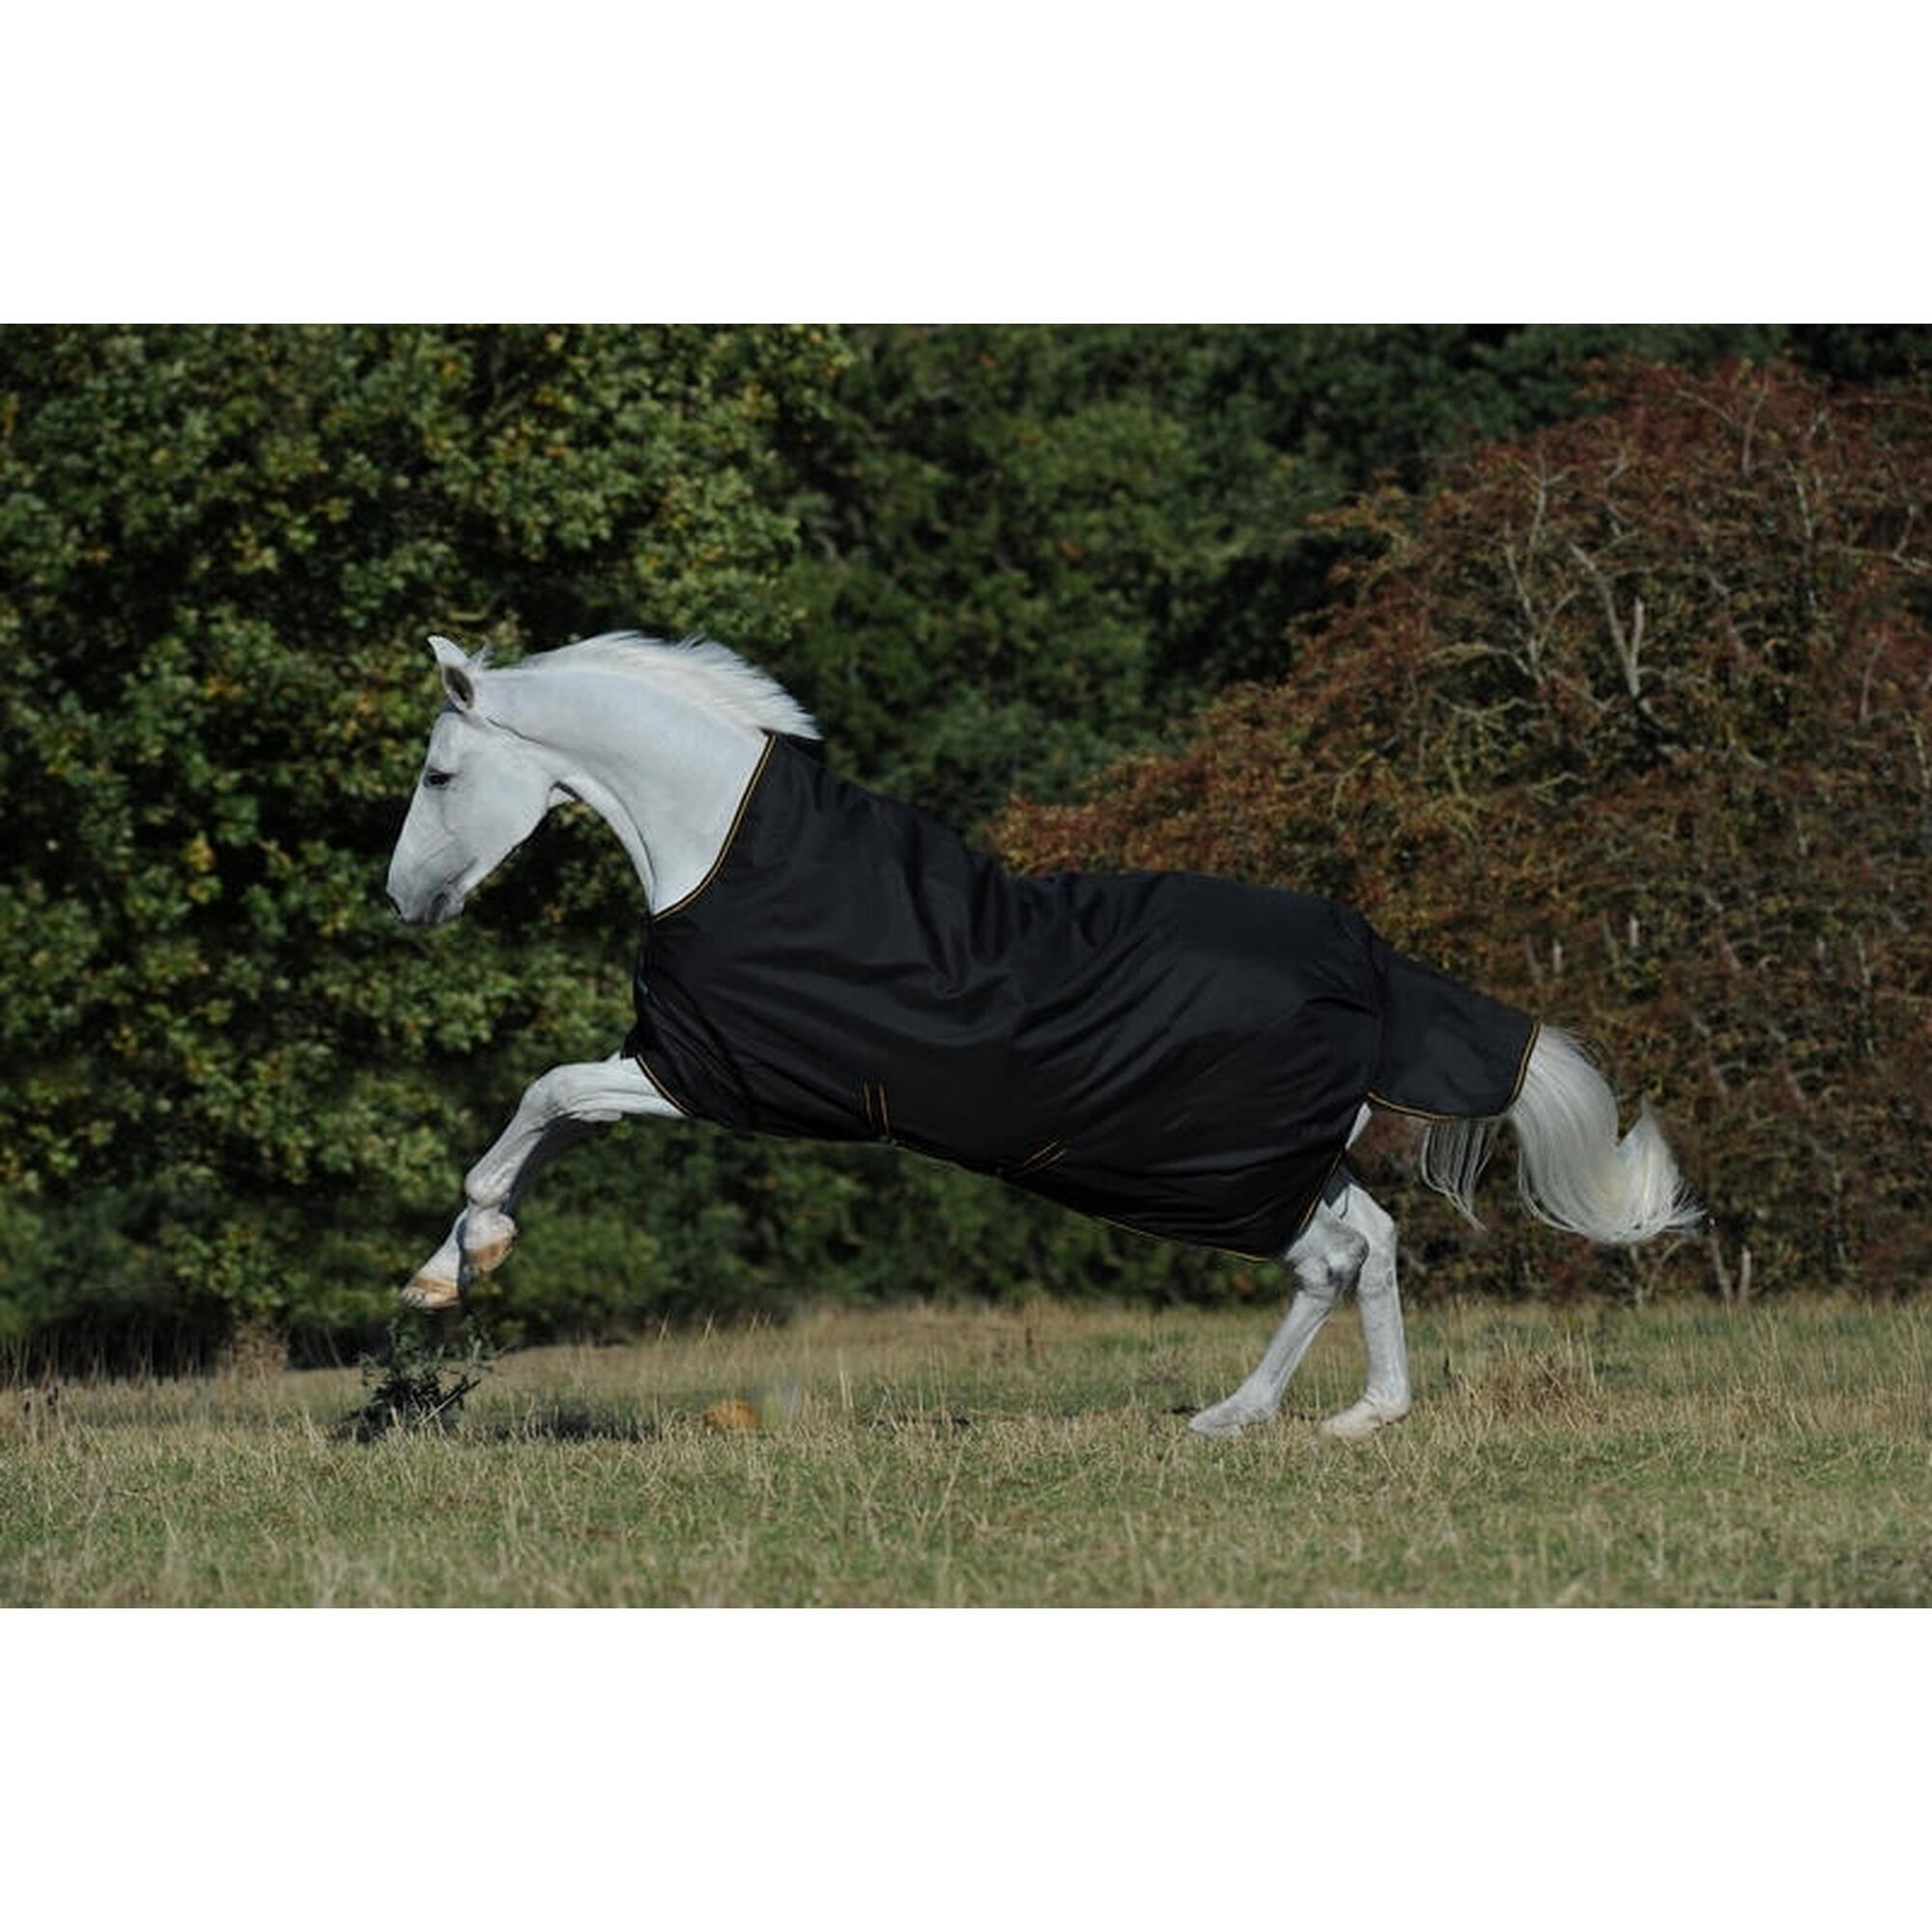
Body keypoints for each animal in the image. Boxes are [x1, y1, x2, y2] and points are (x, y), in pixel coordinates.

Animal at [385, 631, 1699, 1438]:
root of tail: (1368, 961)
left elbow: (546, 1097)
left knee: (1325, 1257)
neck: (722, 847)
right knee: (1367, 1243)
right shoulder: (678, 1065)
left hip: (1213, 1168)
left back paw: (1235, 1416)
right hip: (1281, 1155)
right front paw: (462, 1264)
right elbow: (553, 1116)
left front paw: (448, 1269)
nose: (403, 901)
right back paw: (1348, 1415)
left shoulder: (713, 1073)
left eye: (441, 774)